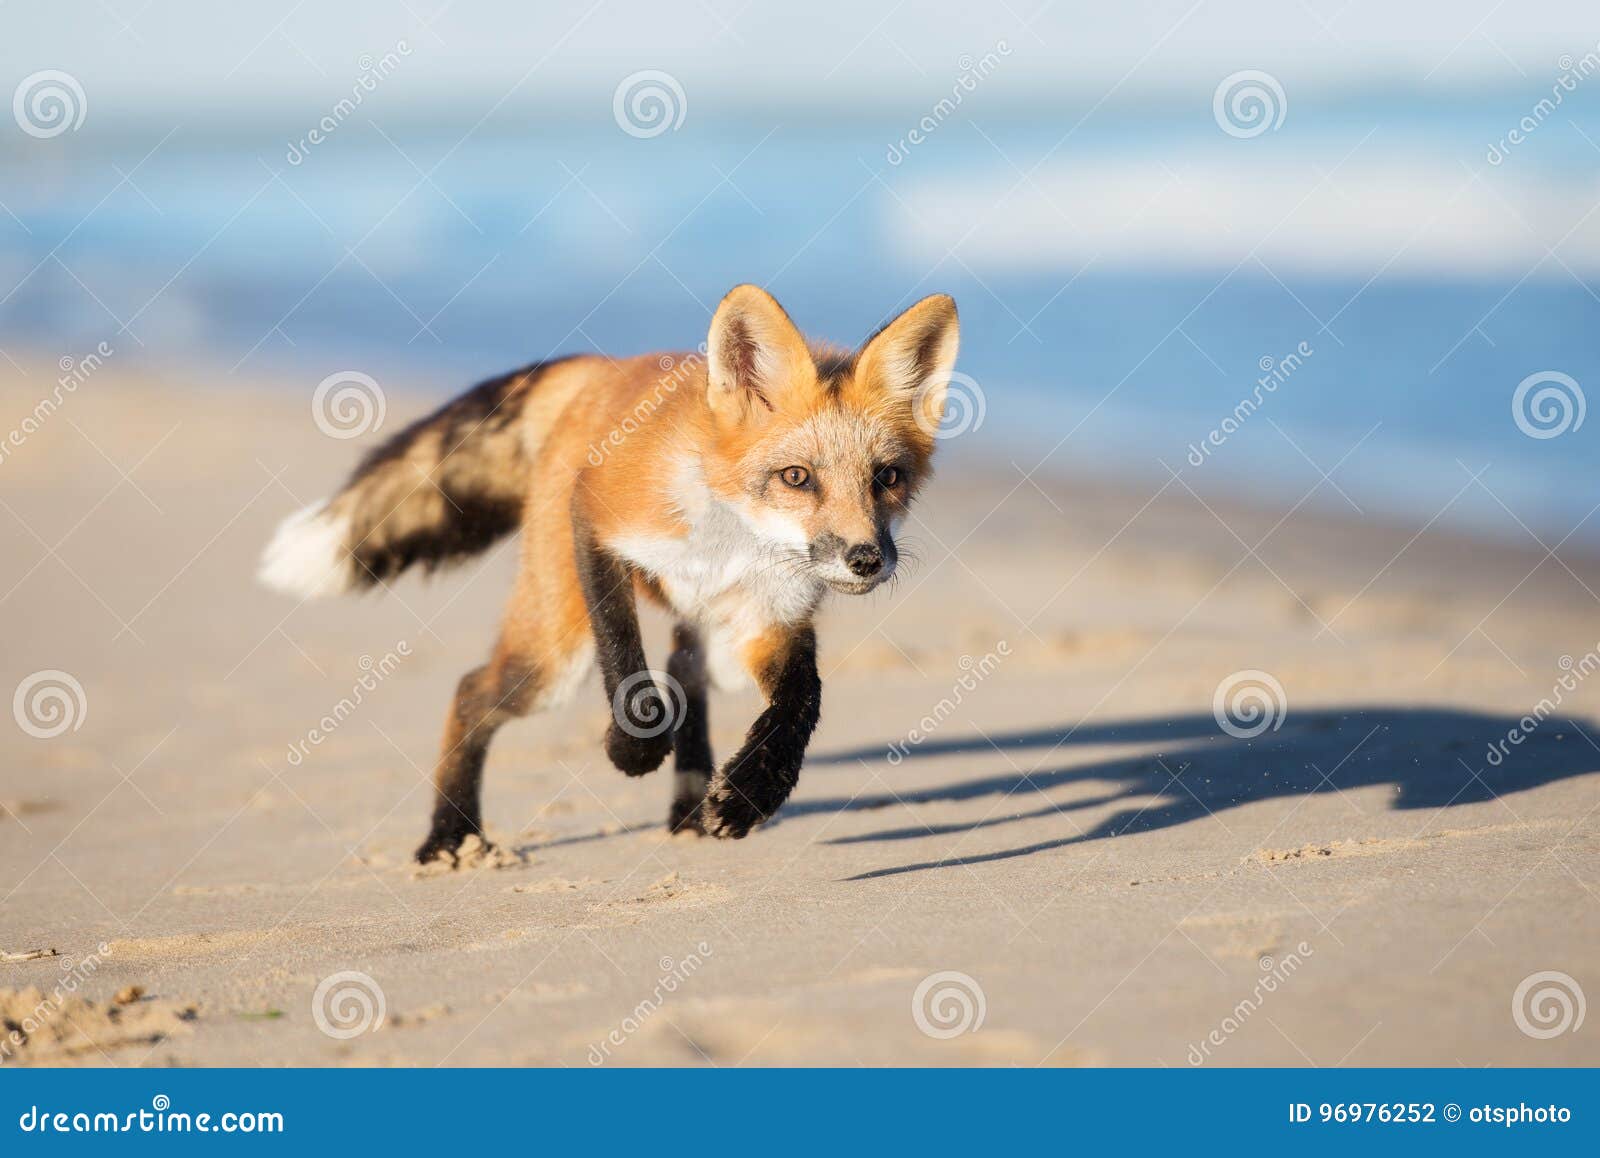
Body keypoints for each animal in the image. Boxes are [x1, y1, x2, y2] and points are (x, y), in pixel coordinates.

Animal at [258, 285, 960, 864]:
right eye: (797, 478)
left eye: (887, 478)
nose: (867, 559)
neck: (732, 541)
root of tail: (596, 367)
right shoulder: (597, 526)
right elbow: (629, 668)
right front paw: (633, 751)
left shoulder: (771, 619)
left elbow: (802, 699)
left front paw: (751, 793)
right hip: (552, 654)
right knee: (469, 691)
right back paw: (450, 838)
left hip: (709, 644)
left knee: (684, 673)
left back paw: (687, 814)